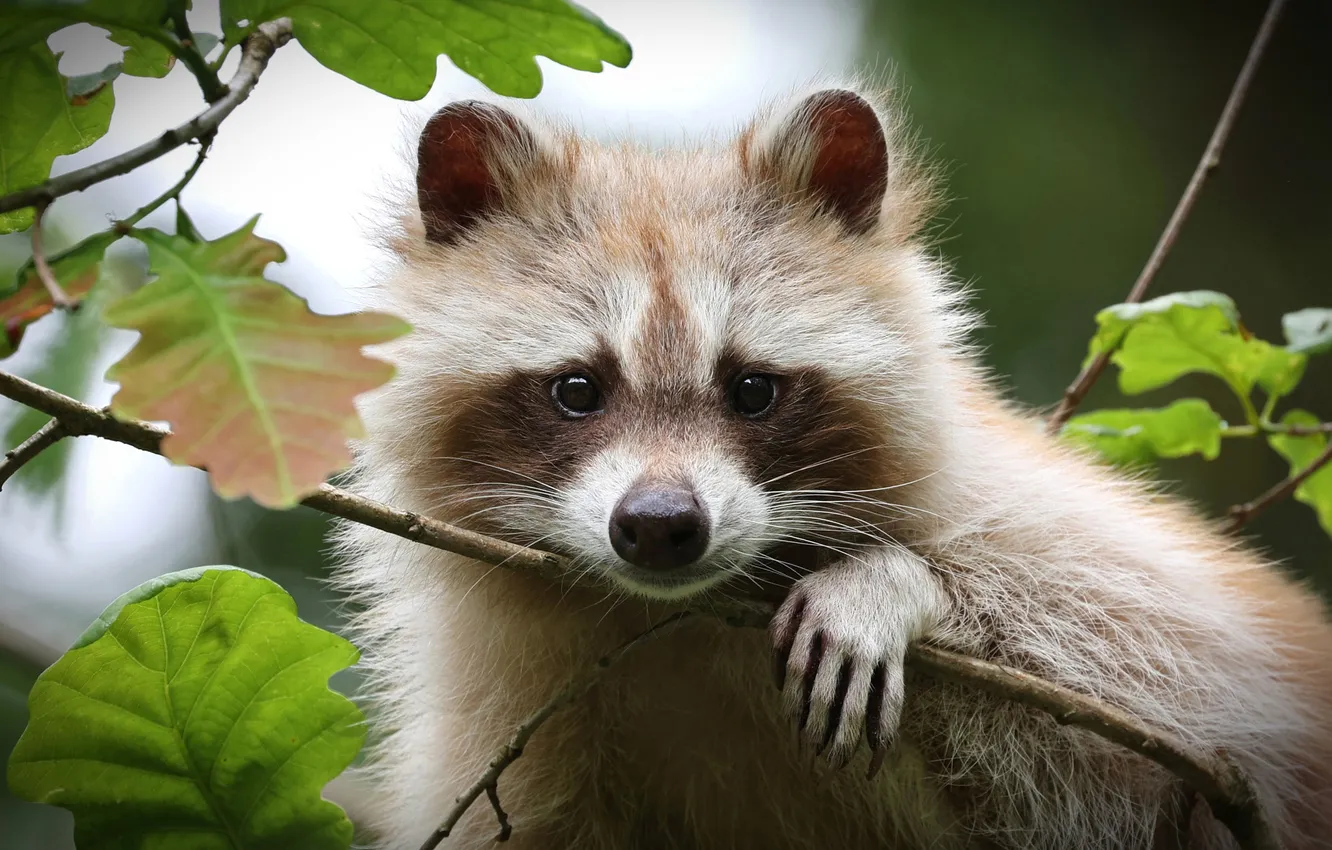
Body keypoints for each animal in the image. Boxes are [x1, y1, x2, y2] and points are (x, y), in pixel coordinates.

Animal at [334, 85, 1332, 850]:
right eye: (577, 389)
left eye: (752, 389)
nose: (659, 526)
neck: (679, 621)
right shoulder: (508, 723)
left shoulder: (1096, 569)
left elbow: (1166, 691)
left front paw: (895, 583)